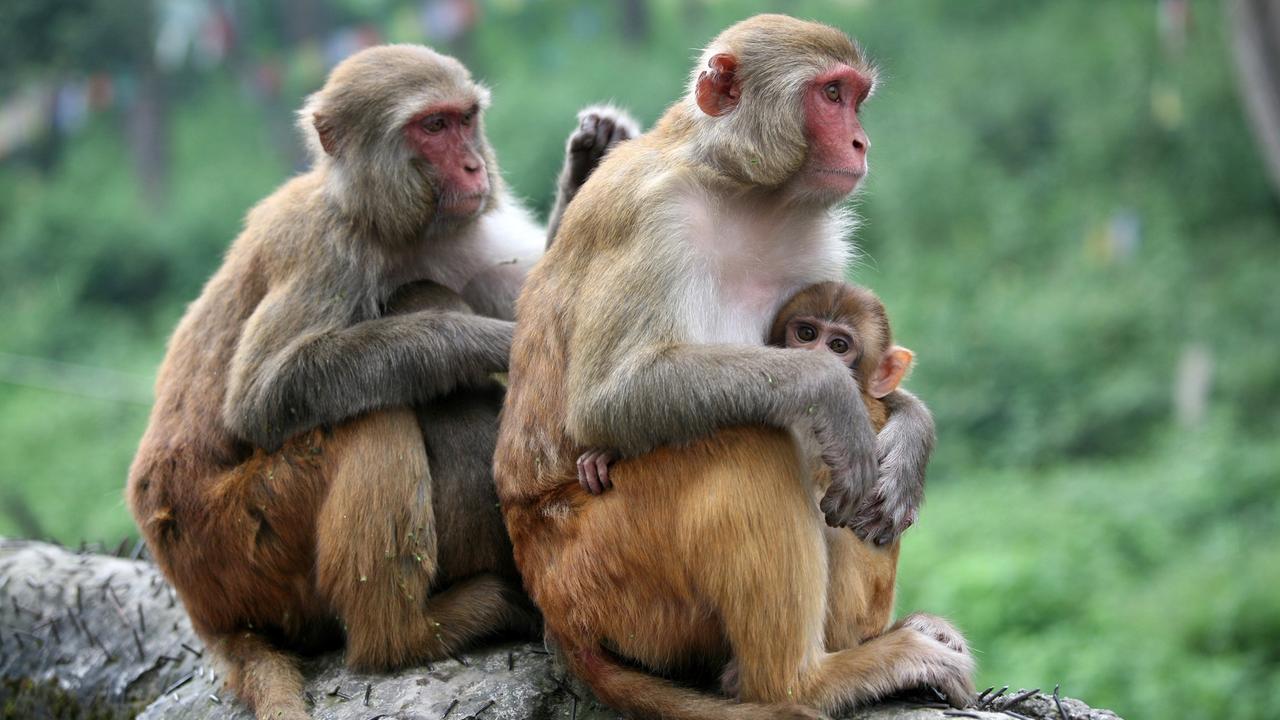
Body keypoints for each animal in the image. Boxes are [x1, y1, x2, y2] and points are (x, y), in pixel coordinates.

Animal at [126, 45, 633, 720]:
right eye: (432, 127)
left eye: (465, 119)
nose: (473, 166)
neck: (389, 227)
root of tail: (207, 612)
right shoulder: (324, 251)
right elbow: (261, 398)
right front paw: (482, 342)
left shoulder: (464, 238)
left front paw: (592, 158)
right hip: (242, 540)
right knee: (370, 416)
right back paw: (407, 635)